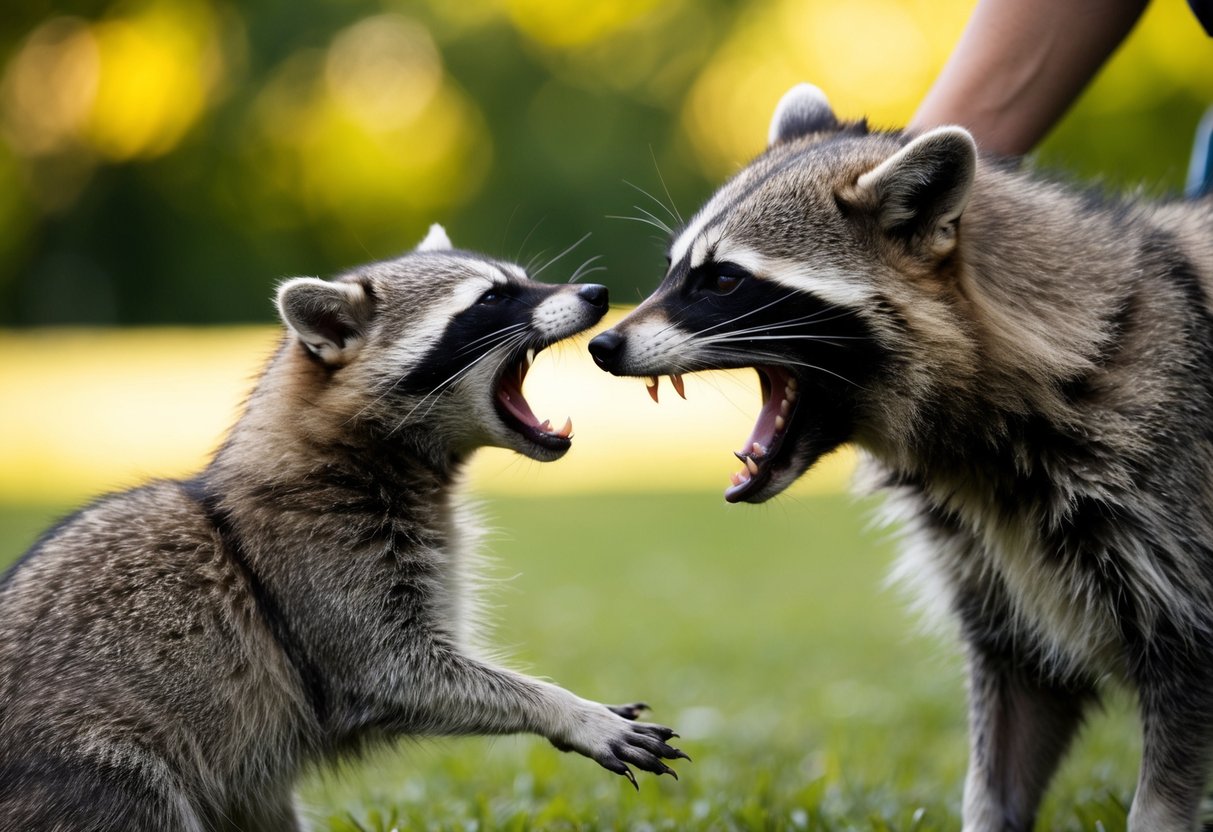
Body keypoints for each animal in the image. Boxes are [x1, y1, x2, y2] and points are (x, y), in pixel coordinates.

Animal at [0, 225, 685, 831]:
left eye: (518, 282)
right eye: (491, 299)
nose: (597, 292)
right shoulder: (317, 559)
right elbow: (392, 671)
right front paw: (560, 707)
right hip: (102, 768)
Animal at [589, 83, 1213, 831]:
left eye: (724, 281)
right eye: (674, 270)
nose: (601, 345)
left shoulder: (1168, 526)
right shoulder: (996, 581)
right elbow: (1007, 739)